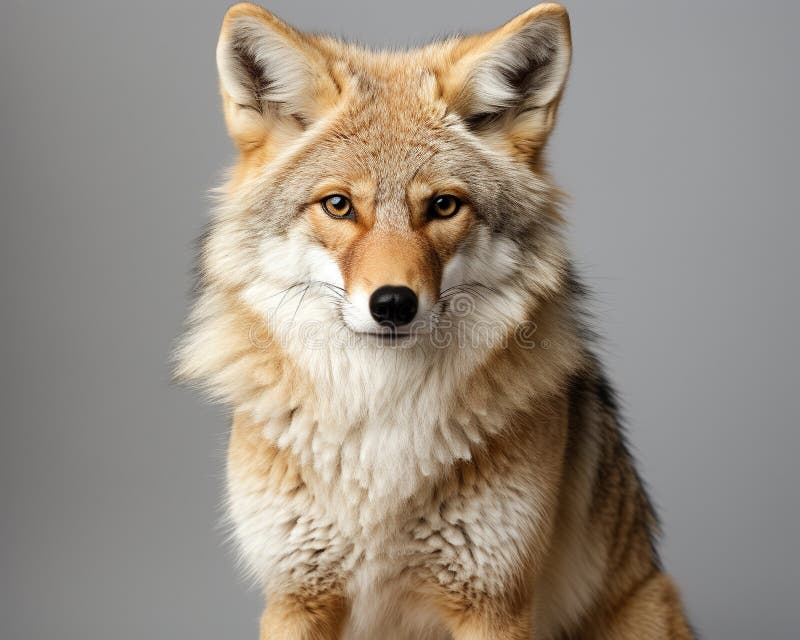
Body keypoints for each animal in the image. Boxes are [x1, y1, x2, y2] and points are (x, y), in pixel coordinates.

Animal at [176, 3, 695, 638]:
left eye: (444, 206)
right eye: (338, 205)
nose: (394, 303)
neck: (380, 424)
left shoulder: (493, 602)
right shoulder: (296, 597)